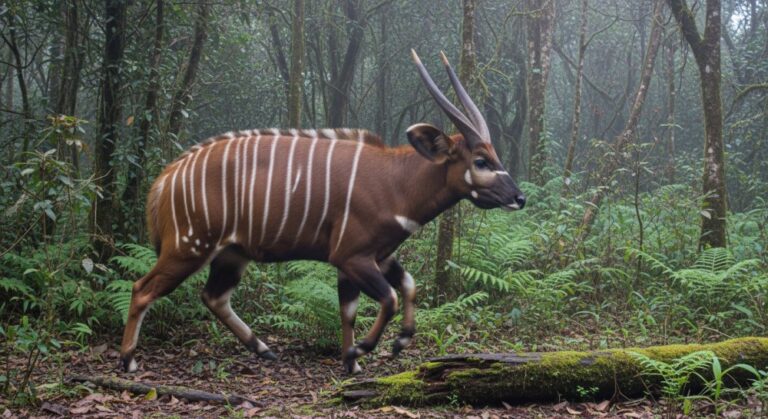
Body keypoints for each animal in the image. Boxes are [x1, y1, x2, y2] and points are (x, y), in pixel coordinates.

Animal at [119, 50, 526, 374]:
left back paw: (264, 350)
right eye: (481, 160)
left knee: (214, 296)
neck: (396, 182)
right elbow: (389, 299)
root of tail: (166, 178)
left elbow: (388, 294)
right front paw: (361, 350)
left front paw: (368, 355)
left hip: (231, 254)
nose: (519, 198)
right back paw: (128, 360)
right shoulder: (352, 256)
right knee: (142, 289)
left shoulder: (375, 257)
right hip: (189, 247)